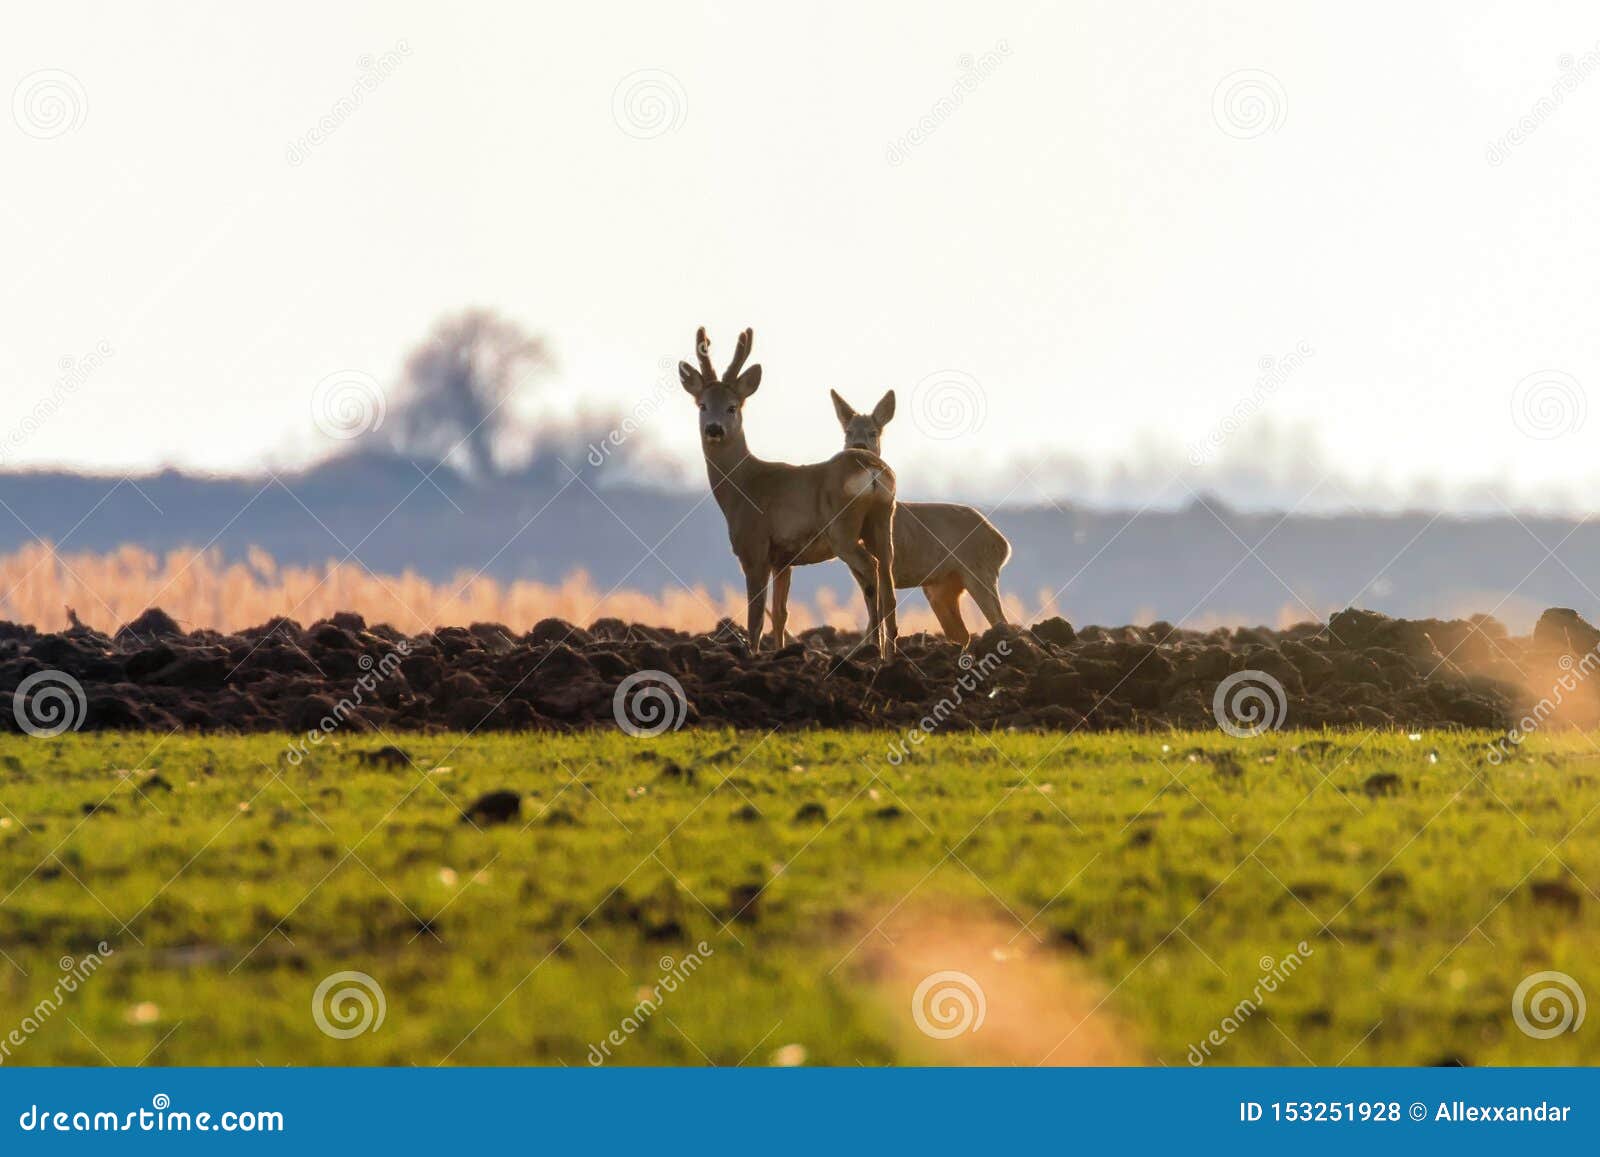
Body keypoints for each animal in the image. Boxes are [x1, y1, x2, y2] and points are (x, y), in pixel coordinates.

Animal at [679, 327, 898, 656]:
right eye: (702, 405)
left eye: (733, 406)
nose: (714, 429)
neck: (742, 486)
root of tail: (871, 469)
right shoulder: (783, 559)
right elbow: (781, 614)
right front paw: (779, 651)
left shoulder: (754, 548)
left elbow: (756, 617)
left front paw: (754, 655)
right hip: (882, 522)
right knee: (887, 577)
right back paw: (889, 651)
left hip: (843, 531)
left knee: (871, 573)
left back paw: (874, 648)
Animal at [767, 389, 1011, 647]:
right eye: (848, 431)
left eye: (873, 432)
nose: (859, 445)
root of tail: (1003, 544)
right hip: (942, 587)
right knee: (963, 634)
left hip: (979, 572)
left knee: (999, 620)